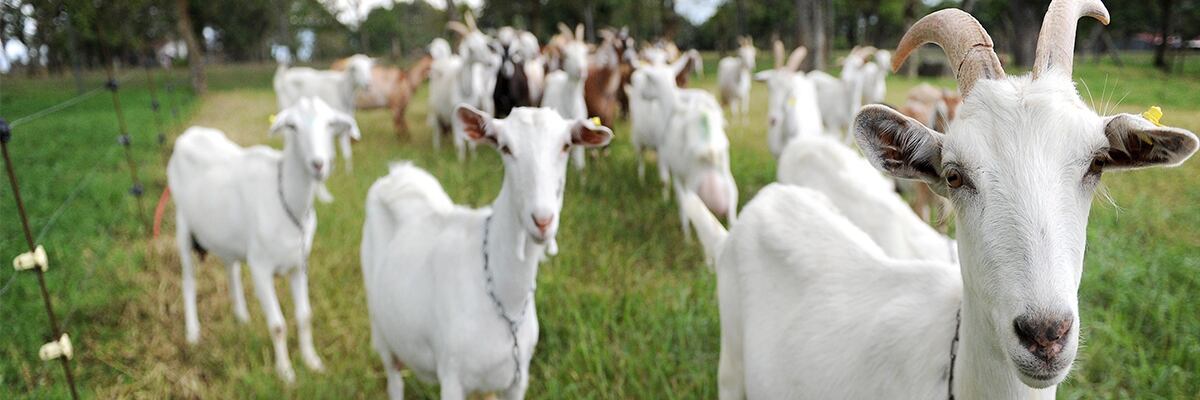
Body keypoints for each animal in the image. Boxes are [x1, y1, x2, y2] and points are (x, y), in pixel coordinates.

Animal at [168, 97, 361, 383]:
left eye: (330, 123)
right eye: (292, 126)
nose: (318, 164)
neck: (287, 200)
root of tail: (190, 134)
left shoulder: (298, 264)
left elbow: (305, 316)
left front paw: (313, 362)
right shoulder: (260, 267)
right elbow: (278, 325)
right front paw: (286, 373)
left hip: (226, 235)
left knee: (231, 269)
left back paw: (242, 318)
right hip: (182, 223)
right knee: (188, 280)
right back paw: (193, 333)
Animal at [361, 105, 612, 399]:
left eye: (566, 145)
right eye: (505, 147)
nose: (542, 220)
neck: (505, 299)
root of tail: (396, 175)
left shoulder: (517, 378)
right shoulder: (451, 376)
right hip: (381, 328)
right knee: (394, 376)